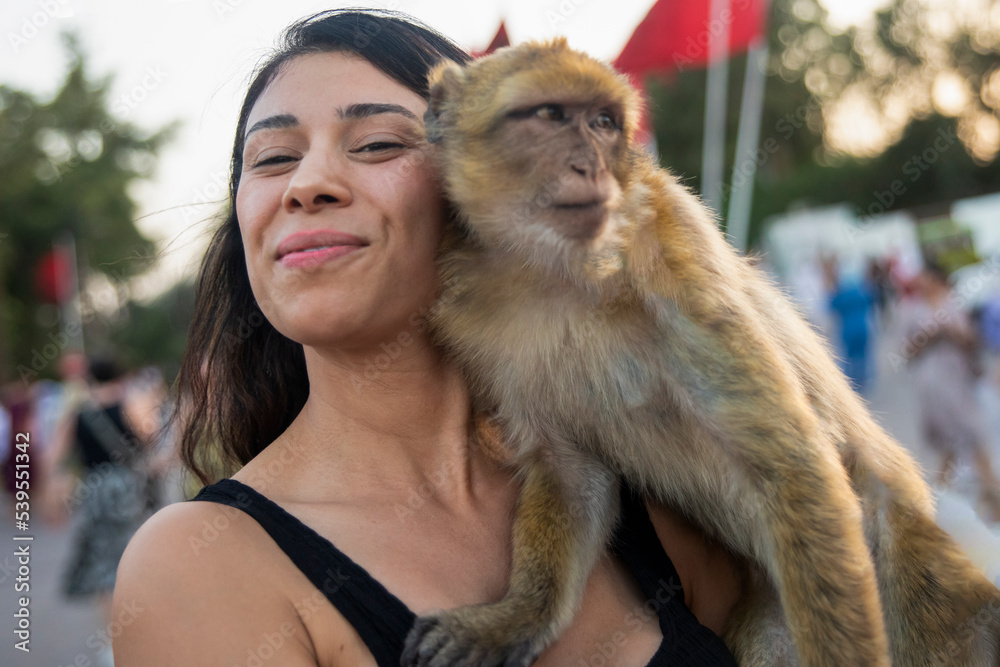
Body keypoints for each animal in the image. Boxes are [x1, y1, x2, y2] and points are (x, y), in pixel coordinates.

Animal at [400, 38, 1000, 667]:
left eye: (604, 123)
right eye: (550, 115)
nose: (590, 167)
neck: (559, 273)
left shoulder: (675, 261)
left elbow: (792, 460)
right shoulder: (478, 329)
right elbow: (569, 471)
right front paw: (515, 618)